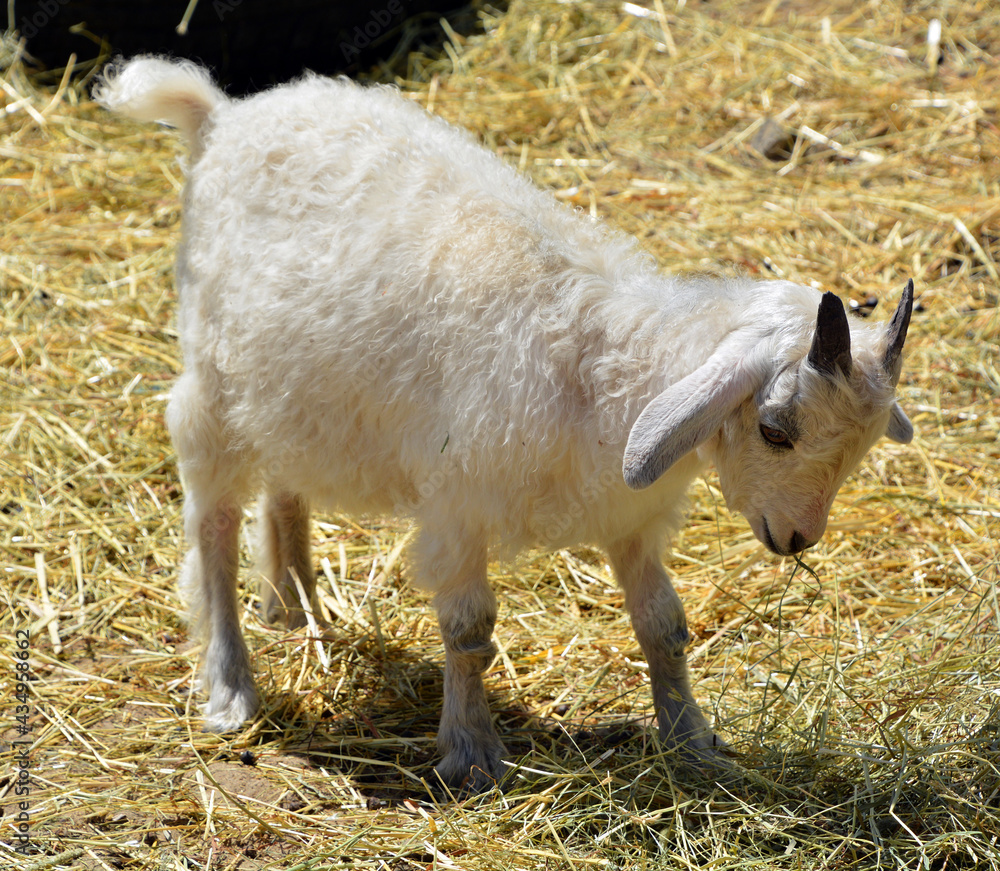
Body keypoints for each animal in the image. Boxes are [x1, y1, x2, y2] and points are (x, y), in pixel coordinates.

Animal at [95, 57, 914, 790]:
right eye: (775, 428)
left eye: (859, 451)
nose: (798, 538)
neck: (599, 359)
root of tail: (224, 115)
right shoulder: (458, 507)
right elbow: (469, 631)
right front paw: (471, 752)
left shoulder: (629, 514)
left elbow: (664, 625)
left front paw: (692, 737)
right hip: (214, 383)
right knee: (212, 522)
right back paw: (232, 684)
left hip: (298, 392)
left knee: (285, 484)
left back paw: (295, 607)